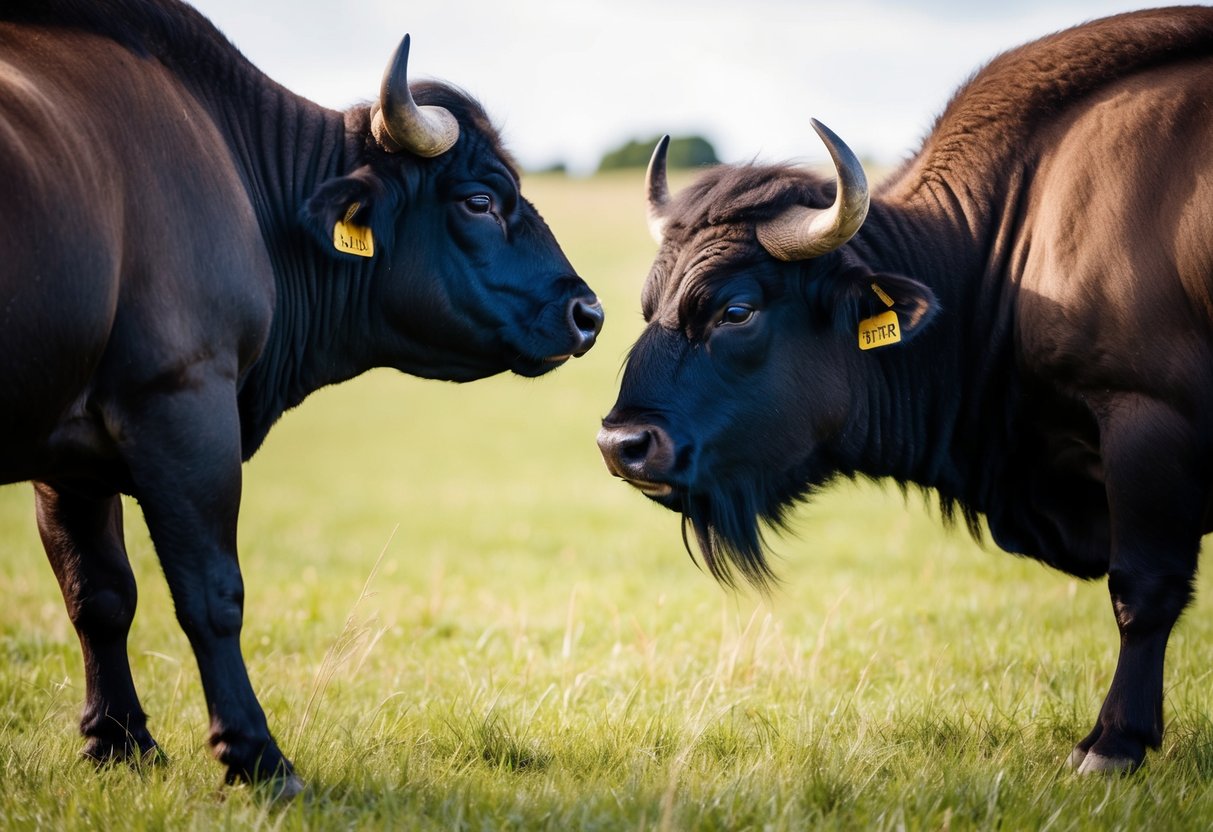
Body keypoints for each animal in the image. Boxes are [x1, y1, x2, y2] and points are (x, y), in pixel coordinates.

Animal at [0, 0, 603, 796]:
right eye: (479, 200)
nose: (589, 312)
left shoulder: (69, 454)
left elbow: (97, 593)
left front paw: (118, 744)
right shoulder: (184, 405)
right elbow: (211, 592)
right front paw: (257, 757)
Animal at [597, 6, 1213, 774]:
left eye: (736, 309)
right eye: (648, 304)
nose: (622, 443)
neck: (1010, 252)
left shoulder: (1146, 425)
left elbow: (1141, 590)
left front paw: (1112, 744)